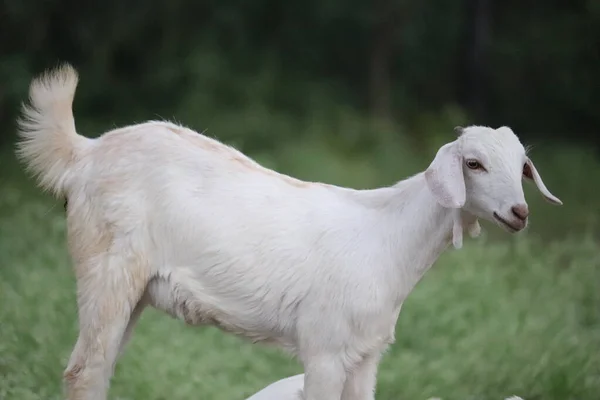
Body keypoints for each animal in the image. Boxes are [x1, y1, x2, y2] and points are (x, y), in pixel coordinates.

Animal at [17, 63, 564, 400]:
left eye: (523, 165)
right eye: (473, 163)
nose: (519, 212)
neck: (389, 237)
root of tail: (84, 152)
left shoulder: (366, 354)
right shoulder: (323, 347)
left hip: (134, 291)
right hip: (106, 267)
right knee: (84, 371)